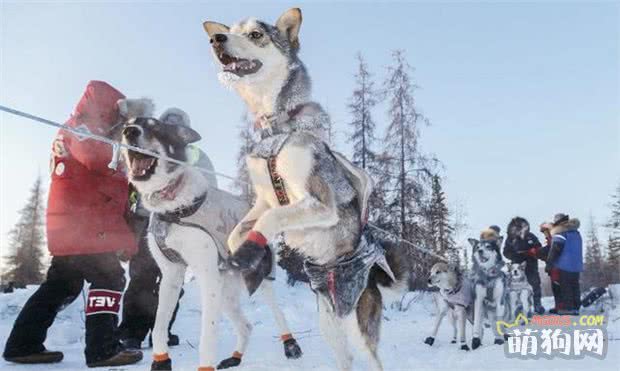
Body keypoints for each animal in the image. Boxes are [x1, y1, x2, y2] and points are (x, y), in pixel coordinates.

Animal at [119, 100, 302, 370]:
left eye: (156, 128)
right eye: (130, 124)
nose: (129, 132)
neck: (172, 205)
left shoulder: (206, 276)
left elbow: (207, 337)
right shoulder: (171, 275)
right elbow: (160, 325)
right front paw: (161, 361)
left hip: (257, 279)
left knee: (277, 313)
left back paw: (290, 345)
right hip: (224, 292)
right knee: (246, 326)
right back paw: (235, 358)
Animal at [203, 8, 412, 371]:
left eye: (256, 34)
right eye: (231, 30)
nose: (216, 39)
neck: (275, 130)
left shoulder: (319, 204)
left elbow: (271, 220)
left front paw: (249, 250)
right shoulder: (264, 200)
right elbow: (241, 228)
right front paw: (243, 253)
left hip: (360, 327)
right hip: (329, 325)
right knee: (345, 360)